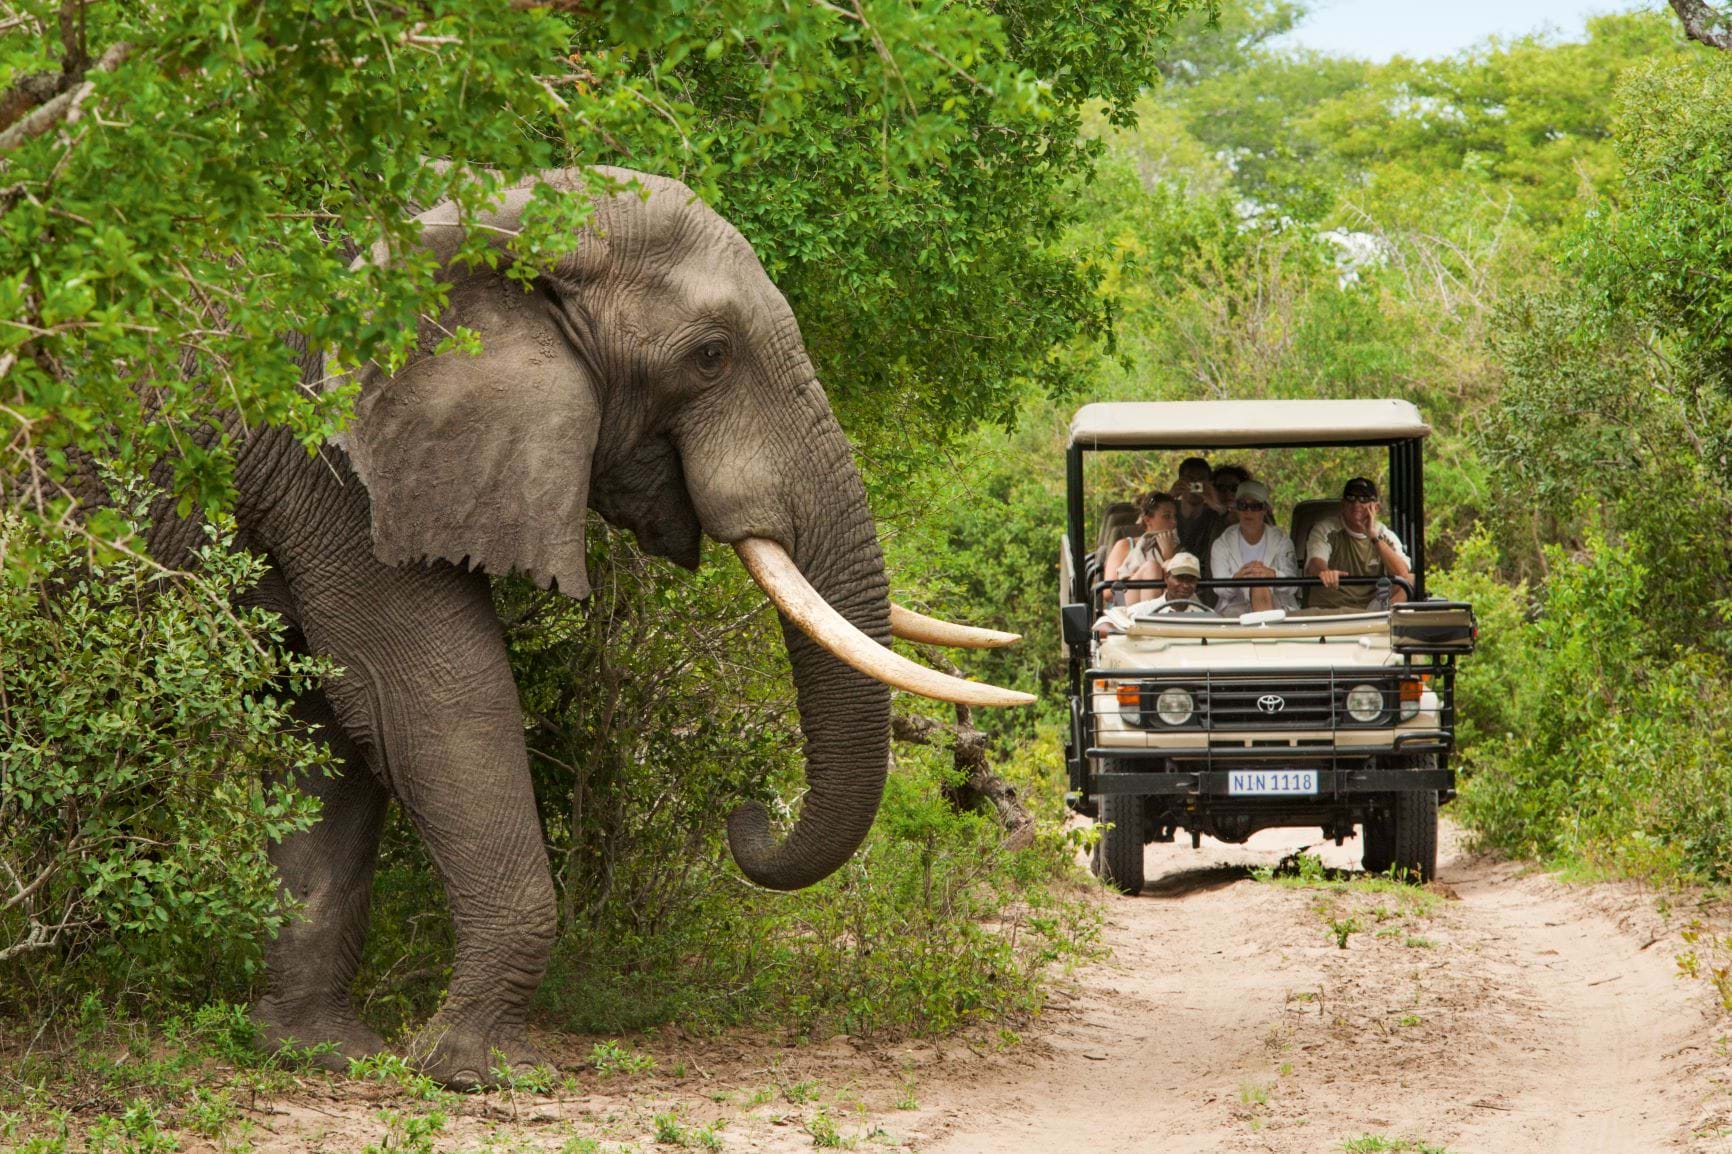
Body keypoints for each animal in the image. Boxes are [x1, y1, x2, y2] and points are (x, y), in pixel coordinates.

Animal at [135, 166, 1031, 1088]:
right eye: (710, 357)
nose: (748, 815)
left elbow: (341, 718)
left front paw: (322, 1053)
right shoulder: (331, 459)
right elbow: (430, 694)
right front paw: (473, 1070)